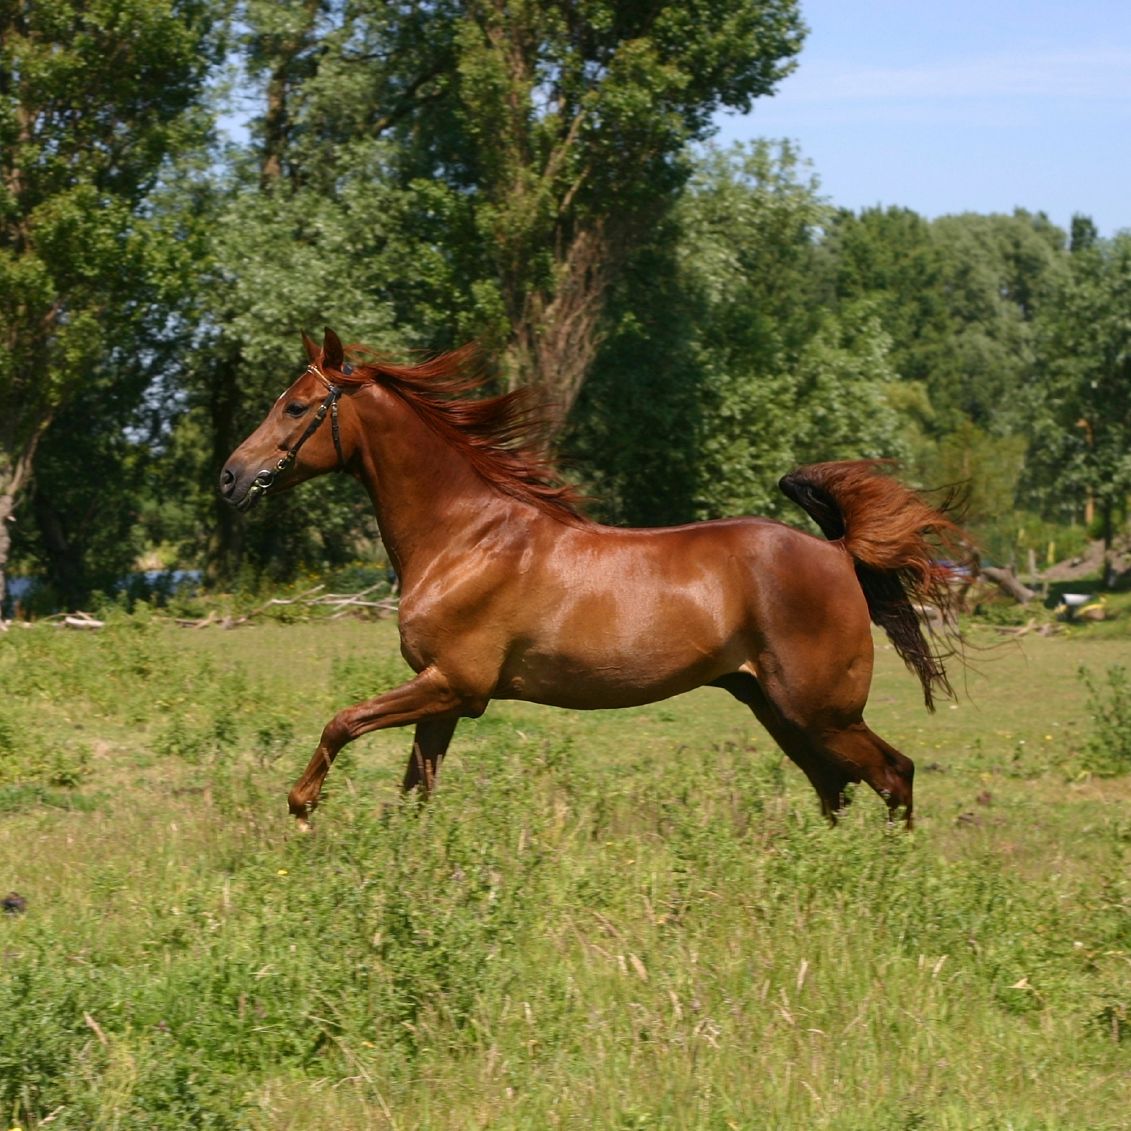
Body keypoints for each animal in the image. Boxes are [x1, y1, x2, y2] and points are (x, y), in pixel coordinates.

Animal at [221, 329, 968, 830]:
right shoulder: (444, 698)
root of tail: (838, 553)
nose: (230, 477)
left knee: (892, 774)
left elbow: (342, 723)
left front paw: (301, 808)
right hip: (779, 709)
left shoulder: (453, 685)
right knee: (836, 789)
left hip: (821, 710)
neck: (462, 537)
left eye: (296, 407)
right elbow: (416, 792)